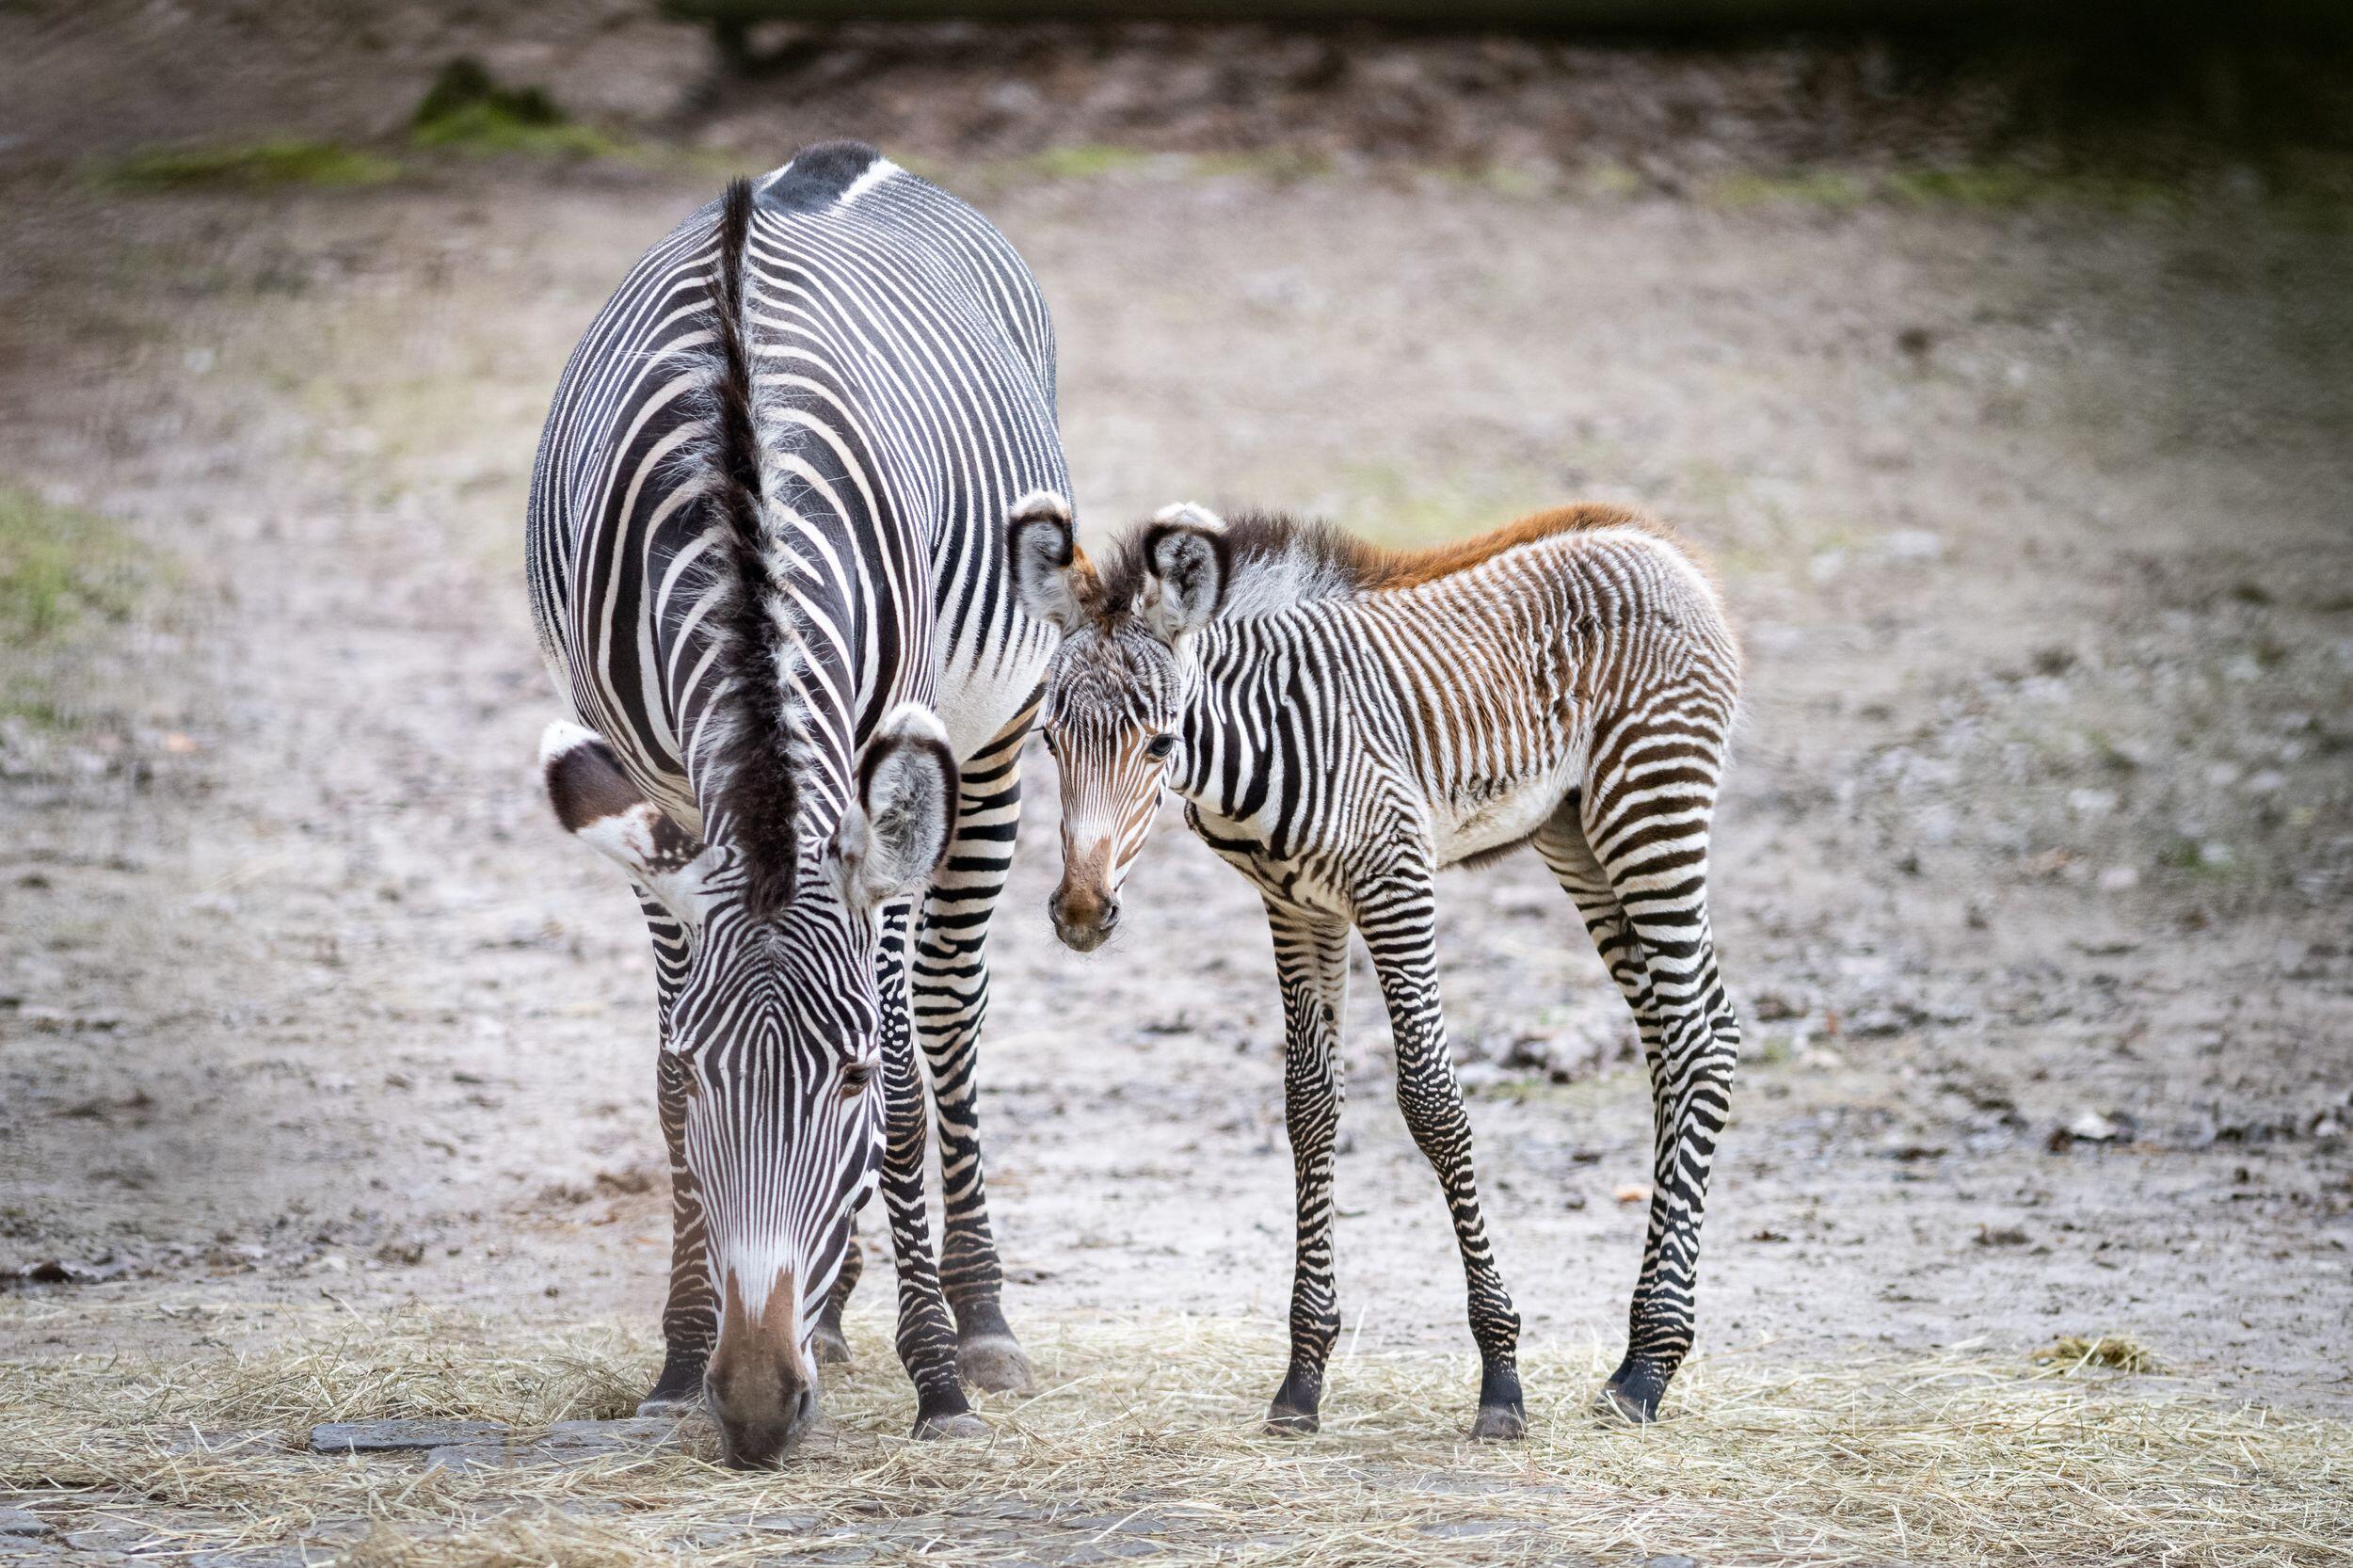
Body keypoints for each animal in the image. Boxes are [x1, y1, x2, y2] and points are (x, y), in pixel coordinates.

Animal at [527, 142, 1066, 1467]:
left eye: (851, 1077)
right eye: (707, 1071)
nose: (761, 1401)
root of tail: (838, 158)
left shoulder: (886, 782)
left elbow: (909, 1088)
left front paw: (939, 1379)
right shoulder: (657, 792)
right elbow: (664, 1097)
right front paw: (680, 1363)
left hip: (995, 743)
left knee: (952, 1022)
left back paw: (979, 1319)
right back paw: (824, 1313)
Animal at [1009, 495, 1743, 1438]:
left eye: (1160, 745)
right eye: (1049, 740)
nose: (1080, 913)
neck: (1260, 735)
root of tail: (1652, 541)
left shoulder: (1396, 885)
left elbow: (1432, 1102)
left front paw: (1501, 1376)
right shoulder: (1298, 908)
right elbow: (1310, 1107)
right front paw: (1303, 1379)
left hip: (1651, 805)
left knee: (1700, 1038)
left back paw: (1646, 1367)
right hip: (1575, 830)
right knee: (1676, 1039)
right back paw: (1645, 1352)